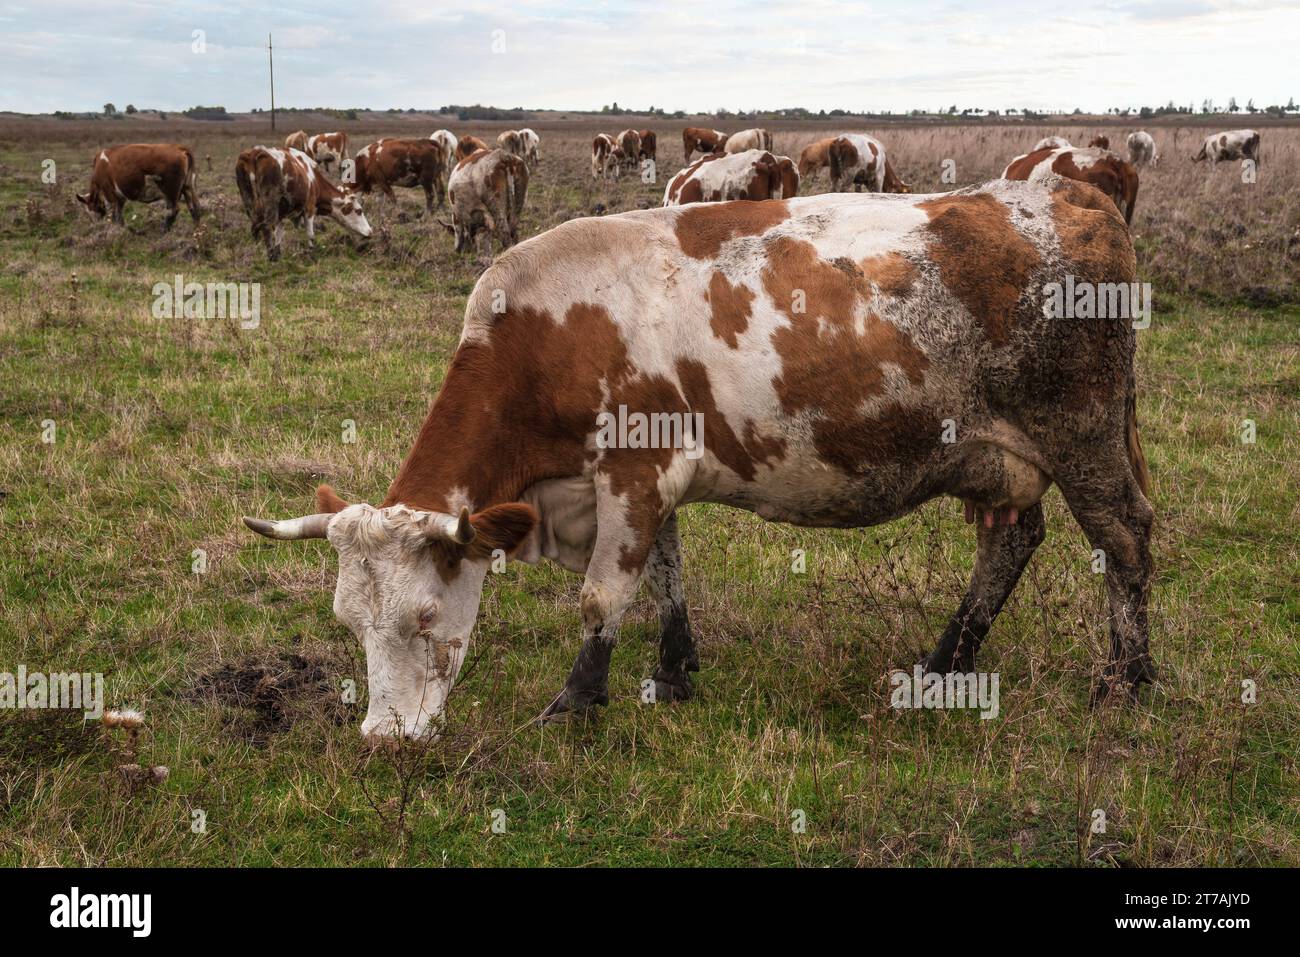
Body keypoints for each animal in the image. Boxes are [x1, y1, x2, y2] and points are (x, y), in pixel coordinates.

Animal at [235, 146, 372, 261]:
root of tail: (255, 153)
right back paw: (269, 255)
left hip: (249, 203)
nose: (370, 231)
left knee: (255, 227)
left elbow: (279, 233)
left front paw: (278, 255)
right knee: (266, 226)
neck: (314, 178)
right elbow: (310, 234)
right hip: (270, 204)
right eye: (359, 211)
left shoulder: (281, 213)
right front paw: (312, 254)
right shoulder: (309, 207)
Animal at [242, 174, 1156, 742]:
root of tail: (1068, 192)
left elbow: (603, 594)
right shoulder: (640, 485)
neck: (546, 332)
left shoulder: (632, 473)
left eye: (426, 617)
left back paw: (1129, 679)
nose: (383, 738)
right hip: (1000, 459)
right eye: (348, 621)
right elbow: (664, 573)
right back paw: (942, 666)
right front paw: (675, 670)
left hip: (1083, 434)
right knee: (1010, 543)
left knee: (1126, 538)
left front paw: (576, 700)